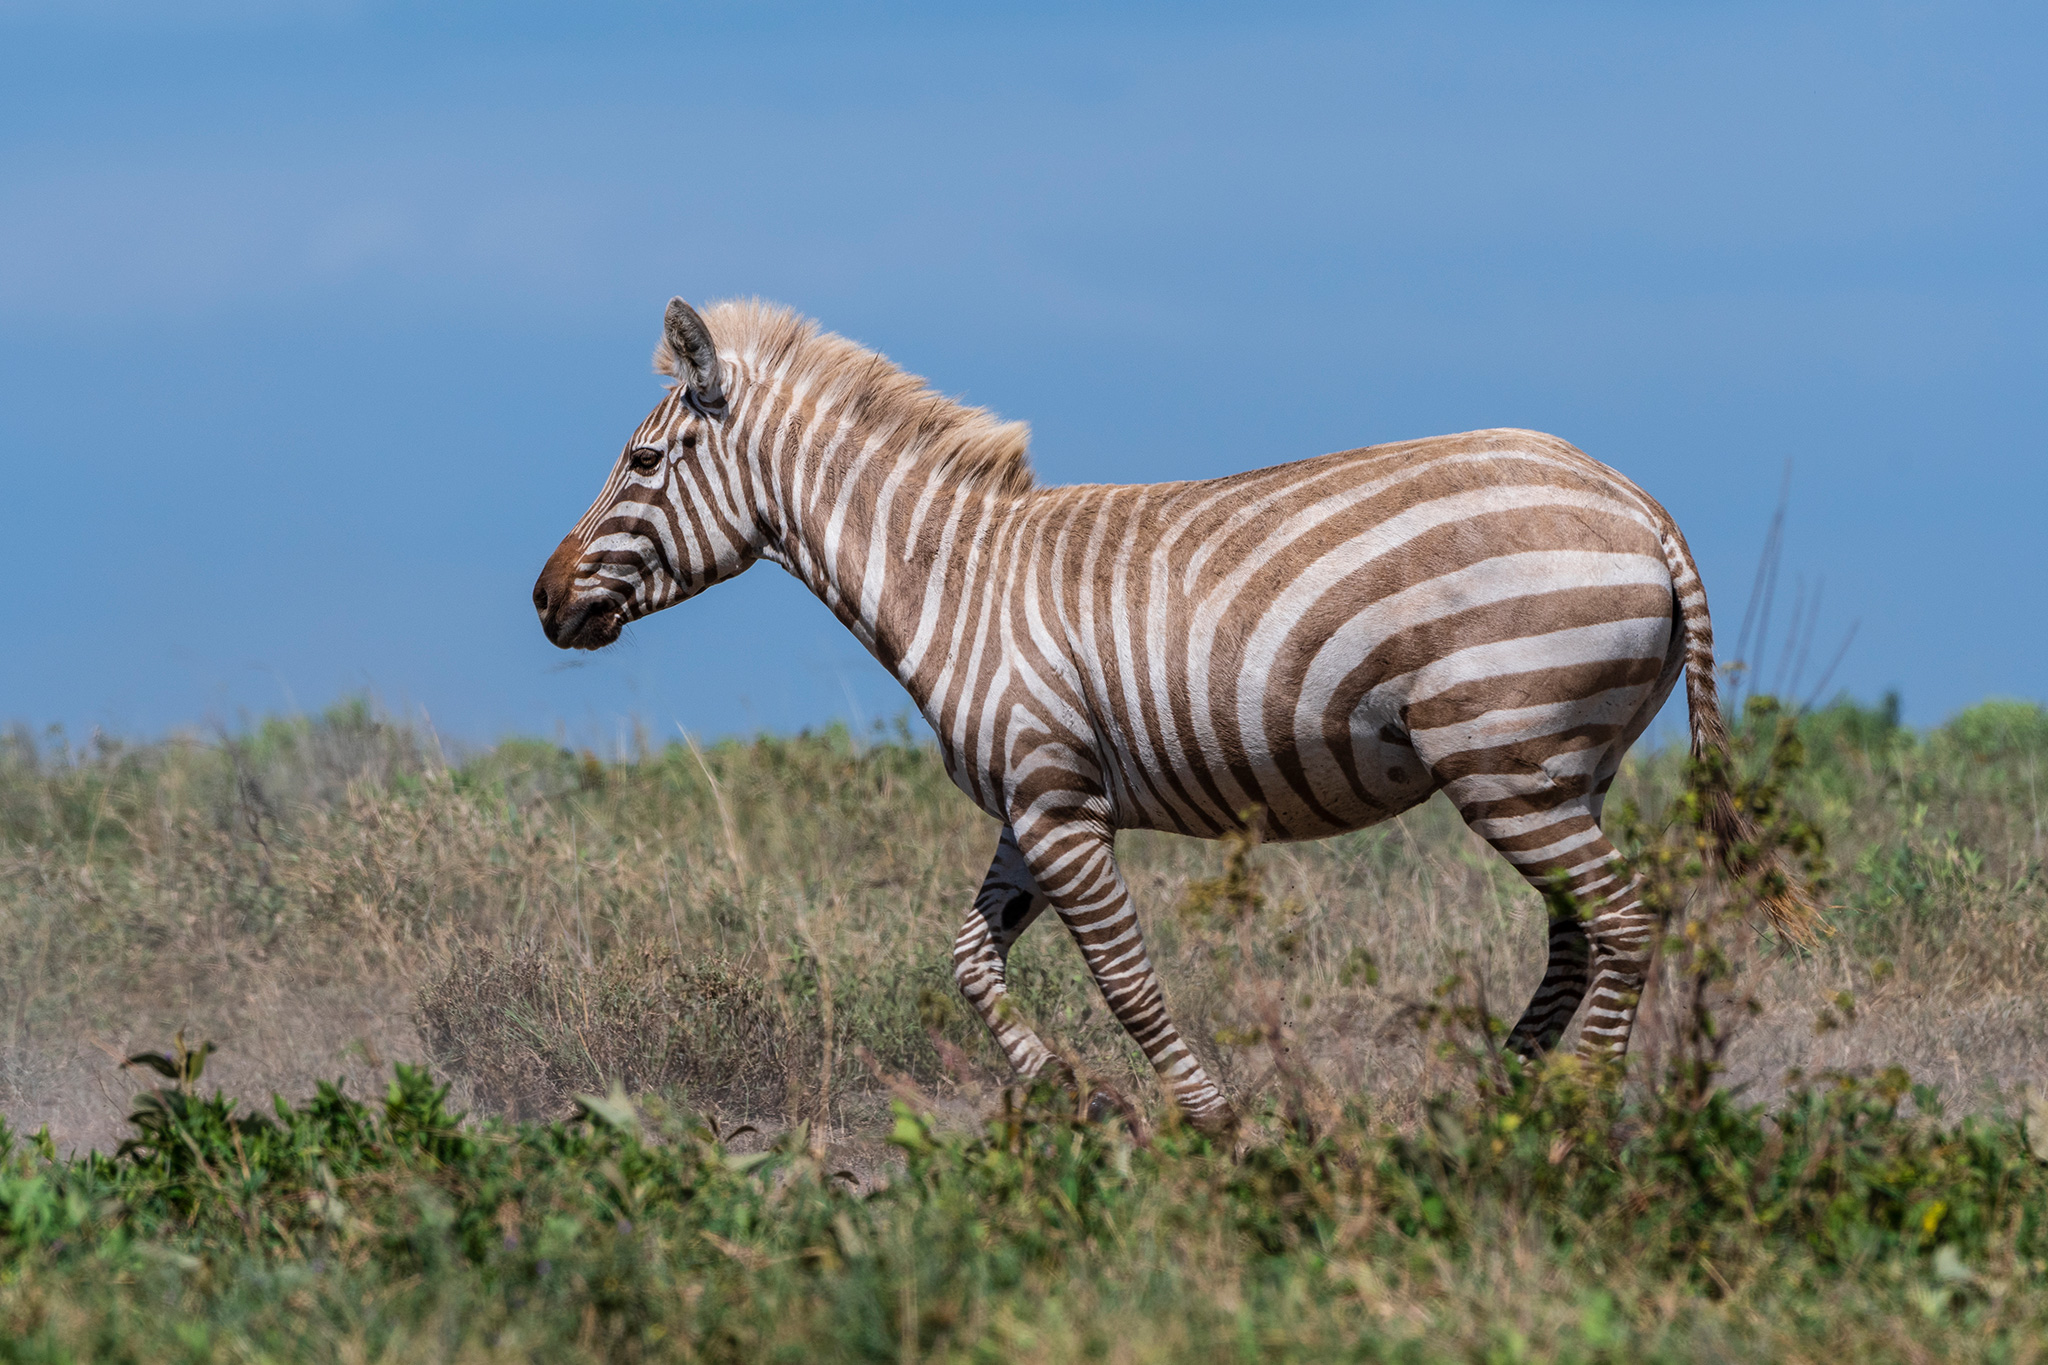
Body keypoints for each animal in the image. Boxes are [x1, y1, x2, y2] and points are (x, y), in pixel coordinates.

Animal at [532, 296, 1819, 1133]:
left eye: (641, 464)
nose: (543, 603)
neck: (952, 581)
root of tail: (1634, 501)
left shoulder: (1056, 803)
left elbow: (1126, 980)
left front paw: (1208, 1120)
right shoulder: (1033, 799)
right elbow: (968, 962)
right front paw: (1070, 1093)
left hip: (1503, 757)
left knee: (1626, 923)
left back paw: (1576, 1113)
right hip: (1554, 767)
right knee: (1577, 934)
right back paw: (1493, 1097)